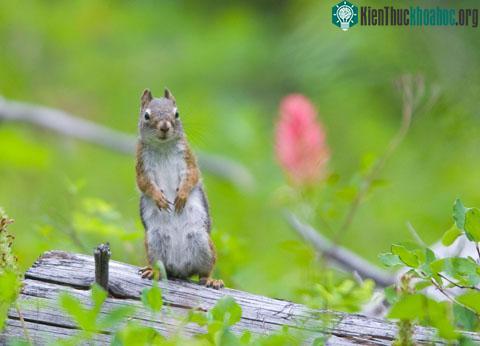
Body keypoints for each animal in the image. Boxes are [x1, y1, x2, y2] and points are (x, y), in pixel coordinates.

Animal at [136, 88, 224, 288]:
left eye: (177, 113)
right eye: (146, 115)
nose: (164, 127)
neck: (163, 146)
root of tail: (180, 269)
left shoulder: (188, 160)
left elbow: (192, 177)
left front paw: (182, 196)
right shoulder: (141, 165)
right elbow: (144, 183)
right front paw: (159, 198)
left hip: (203, 243)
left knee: (204, 272)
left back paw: (211, 280)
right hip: (154, 243)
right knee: (160, 267)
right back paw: (153, 271)